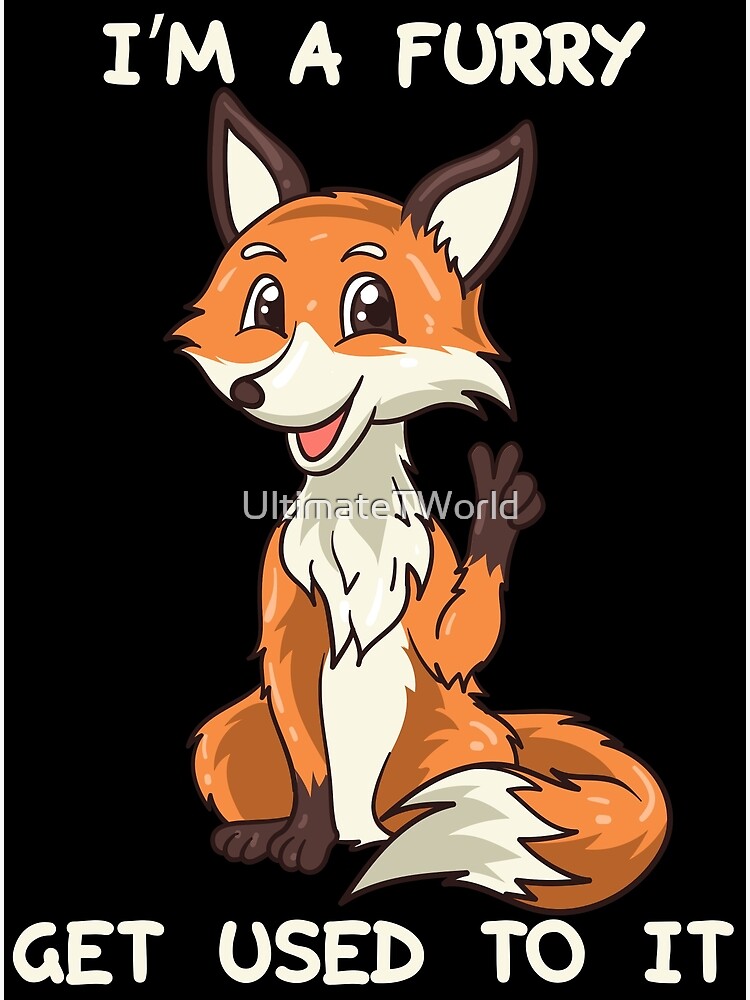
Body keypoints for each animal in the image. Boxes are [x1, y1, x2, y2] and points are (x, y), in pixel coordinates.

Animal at [170, 88, 669, 911]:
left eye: (368, 309)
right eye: (264, 306)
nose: (252, 391)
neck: (353, 519)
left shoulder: (426, 615)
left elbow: (454, 640)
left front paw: (498, 511)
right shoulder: (290, 631)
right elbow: (309, 761)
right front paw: (295, 843)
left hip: (463, 738)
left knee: (454, 793)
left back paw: (410, 829)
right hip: (224, 737)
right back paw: (280, 835)